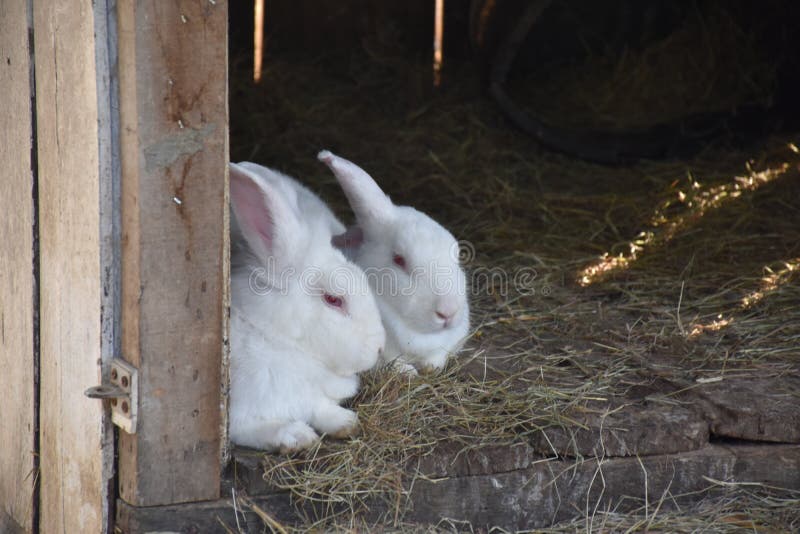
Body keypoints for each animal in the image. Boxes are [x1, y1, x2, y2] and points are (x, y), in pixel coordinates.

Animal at [228, 162, 386, 452]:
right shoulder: (240, 411)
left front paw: (345, 422)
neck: (275, 337)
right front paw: (295, 436)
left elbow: (319, 407)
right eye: (333, 300)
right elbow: (252, 428)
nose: (379, 348)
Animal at [317, 150, 470, 373]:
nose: (448, 312)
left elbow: (437, 358)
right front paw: (409, 372)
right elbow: (394, 362)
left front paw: (431, 367)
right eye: (399, 260)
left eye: (457, 255)